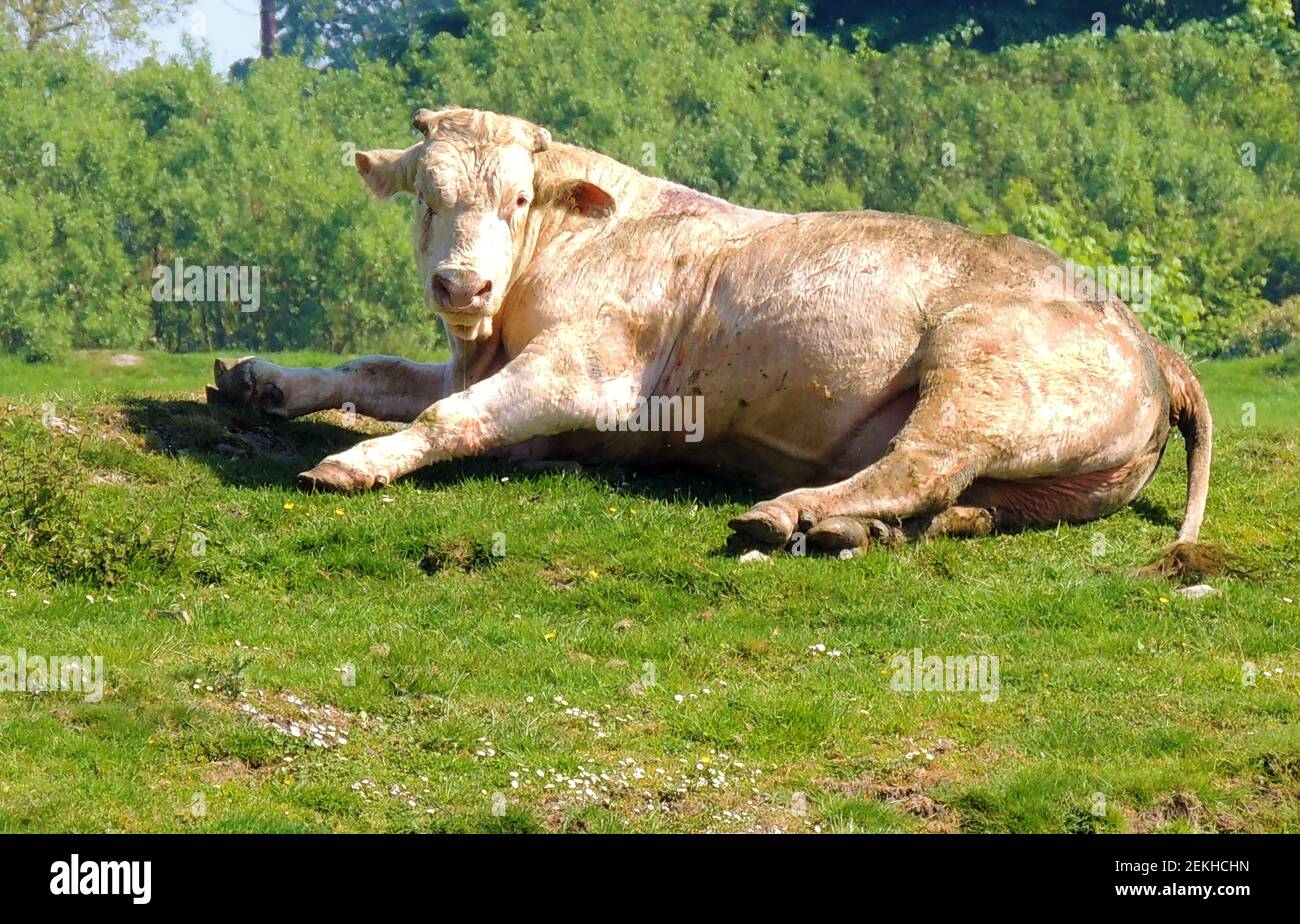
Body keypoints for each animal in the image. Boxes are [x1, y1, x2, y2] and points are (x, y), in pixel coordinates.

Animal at [210, 106, 1212, 561]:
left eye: (521, 199)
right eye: (426, 197)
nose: (462, 282)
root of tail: (1151, 341)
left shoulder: (589, 374)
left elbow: (448, 418)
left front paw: (354, 464)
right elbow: (375, 370)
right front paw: (261, 379)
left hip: (979, 369)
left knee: (925, 462)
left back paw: (790, 513)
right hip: (1045, 483)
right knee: (961, 502)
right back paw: (852, 528)